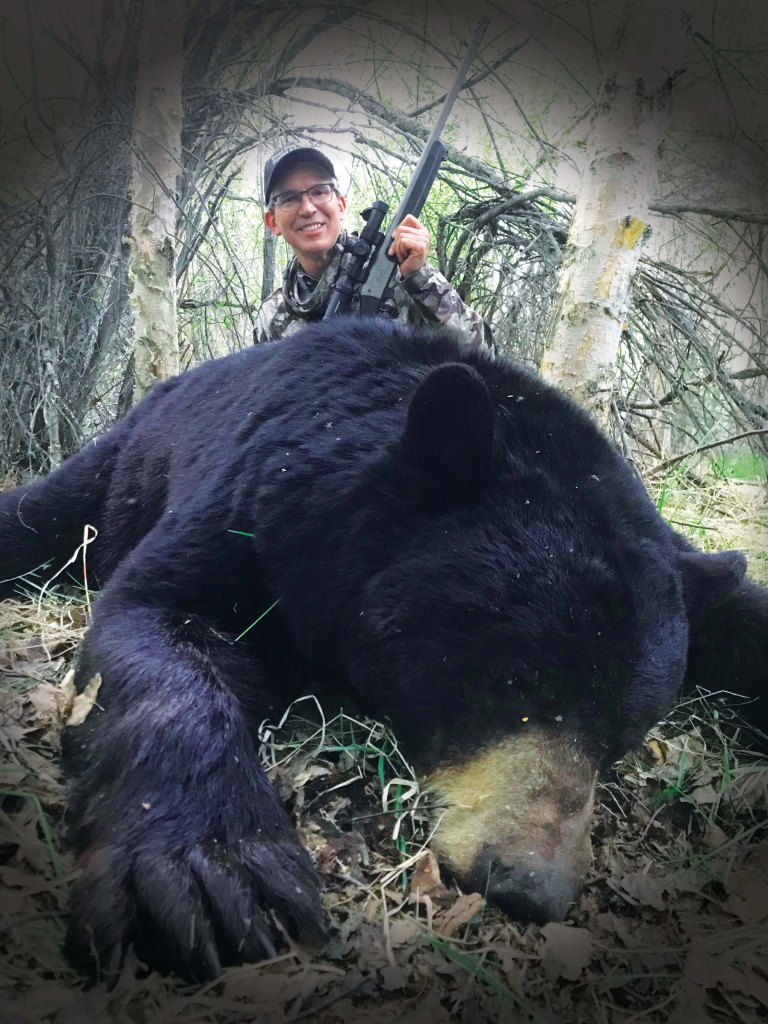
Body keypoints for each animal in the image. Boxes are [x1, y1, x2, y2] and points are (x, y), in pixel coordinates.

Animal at [0, 317, 766, 982]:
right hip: (126, 462)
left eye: (625, 735)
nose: (530, 884)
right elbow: (157, 620)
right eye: (515, 683)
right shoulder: (261, 512)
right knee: (40, 513)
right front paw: (215, 875)